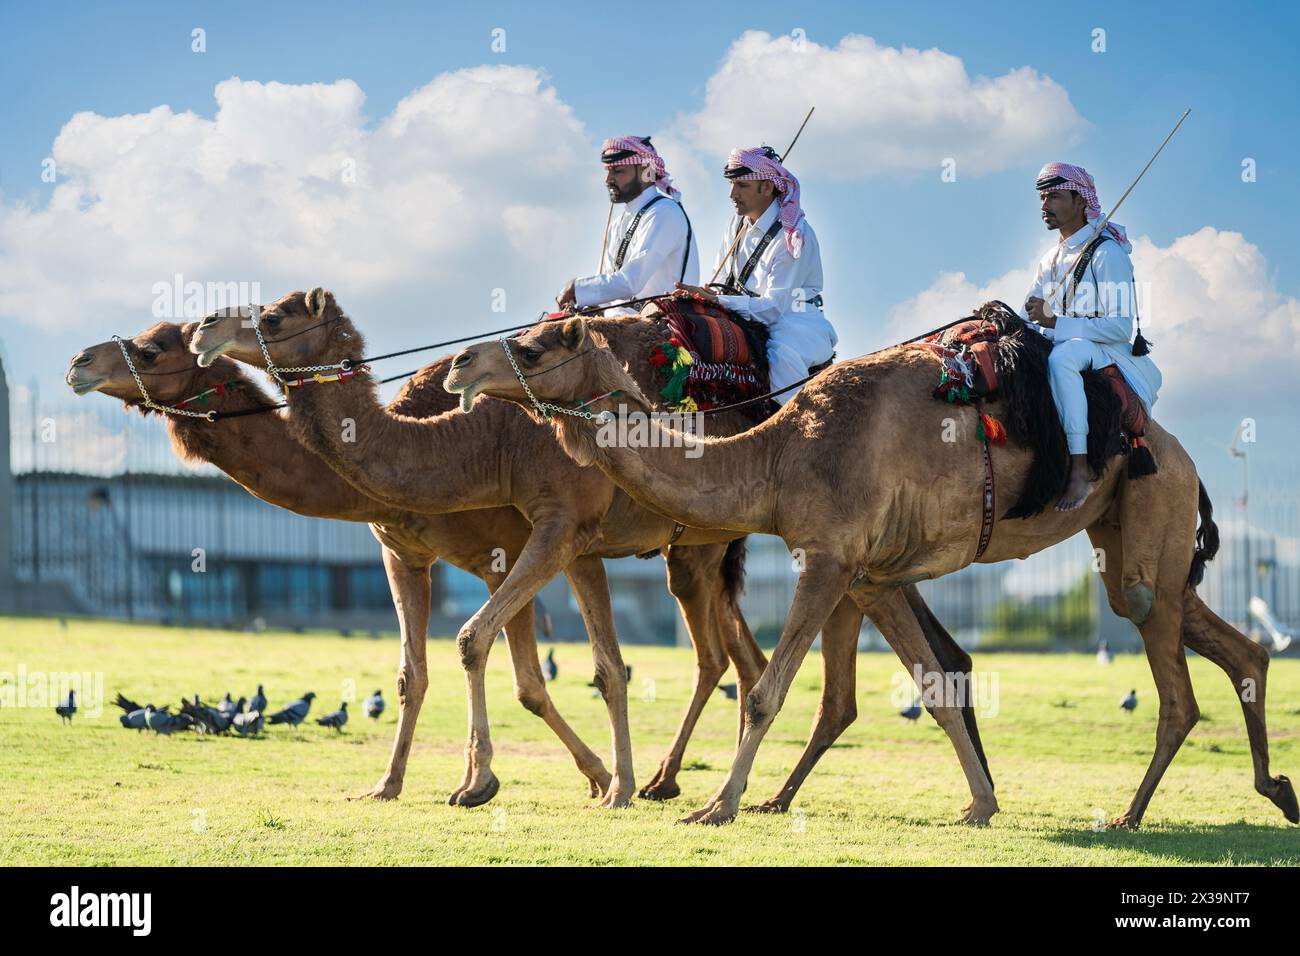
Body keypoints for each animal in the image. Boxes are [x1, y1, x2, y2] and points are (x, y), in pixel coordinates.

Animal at [66, 320, 742, 807]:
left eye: (151, 349)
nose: (80, 362)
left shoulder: (506, 556)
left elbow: (518, 674)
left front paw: (556, 777)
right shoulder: (404, 553)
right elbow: (417, 676)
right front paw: (391, 784)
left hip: (688, 547)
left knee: (711, 655)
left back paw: (669, 781)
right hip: (695, 548)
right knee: (733, 653)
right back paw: (686, 781)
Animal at [188, 289, 996, 813]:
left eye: (272, 315)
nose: (203, 327)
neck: (487, 439)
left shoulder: (552, 527)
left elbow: (480, 641)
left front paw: (485, 784)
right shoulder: (574, 543)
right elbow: (602, 668)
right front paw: (614, 782)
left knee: (835, 661)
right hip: (707, 556)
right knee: (745, 661)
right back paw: (702, 785)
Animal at [444, 313, 1298, 829]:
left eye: (537, 345)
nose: (458, 362)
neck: (778, 457)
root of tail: (1181, 454)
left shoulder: (828, 558)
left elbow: (764, 692)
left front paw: (716, 805)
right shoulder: (874, 576)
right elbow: (939, 689)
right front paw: (980, 805)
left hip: (1153, 505)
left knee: (1172, 678)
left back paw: (1131, 814)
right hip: (1128, 531)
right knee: (1232, 646)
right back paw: (1277, 791)